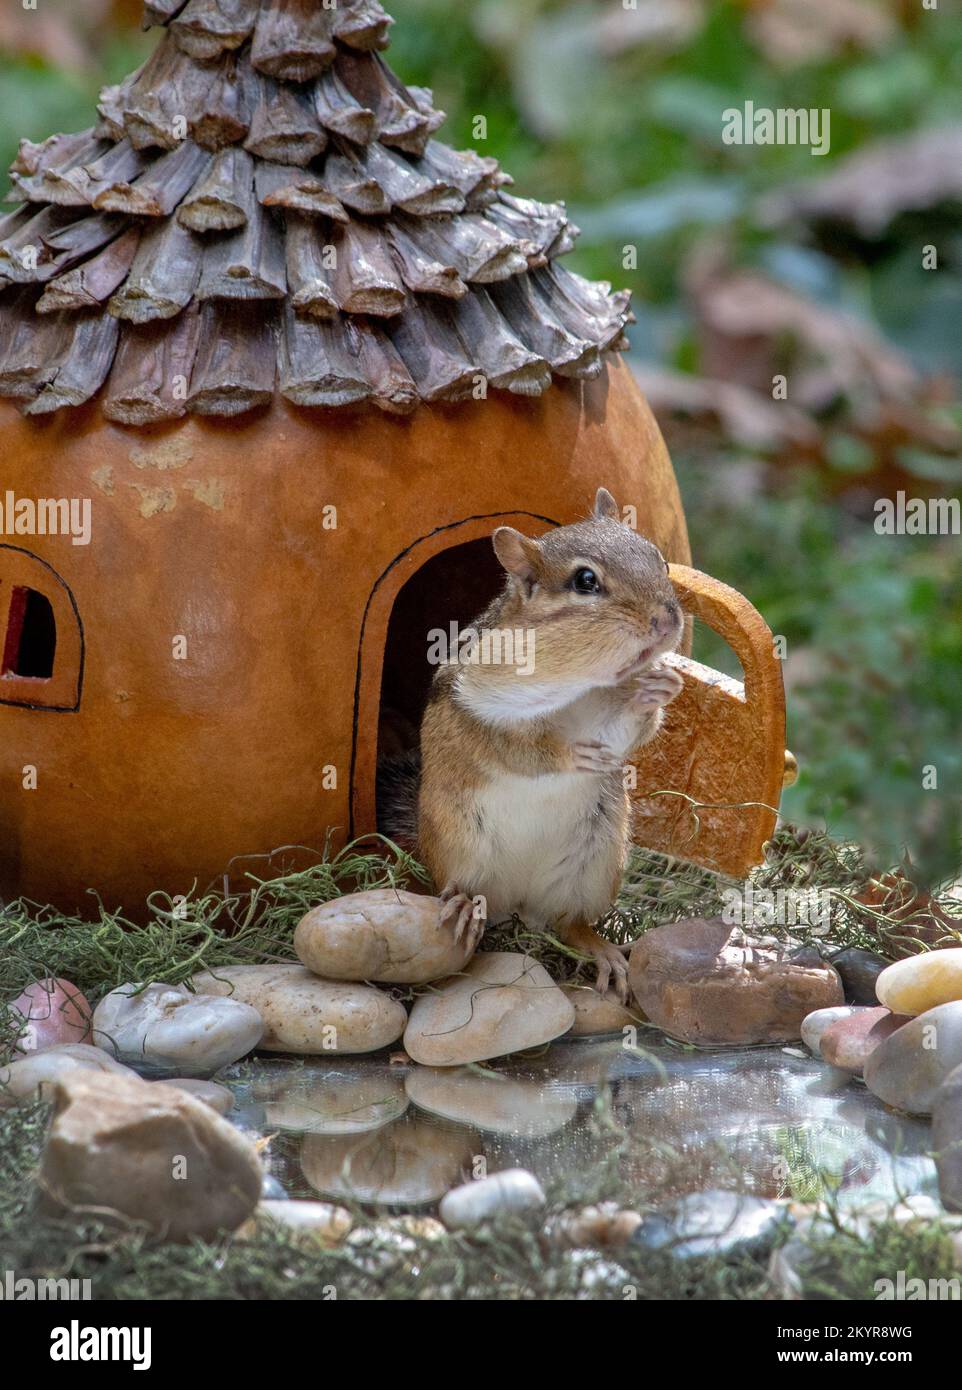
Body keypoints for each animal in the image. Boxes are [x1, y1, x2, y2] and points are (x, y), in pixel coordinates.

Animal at [407, 488, 685, 1002]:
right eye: (585, 581)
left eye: (660, 559)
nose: (665, 621)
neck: (576, 681)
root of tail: (519, 898)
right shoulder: (479, 707)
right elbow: (519, 749)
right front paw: (570, 753)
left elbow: (625, 732)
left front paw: (658, 688)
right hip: (459, 844)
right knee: (471, 888)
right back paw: (465, 904)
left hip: (594, 865)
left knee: (567, 922)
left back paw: (602, 952)